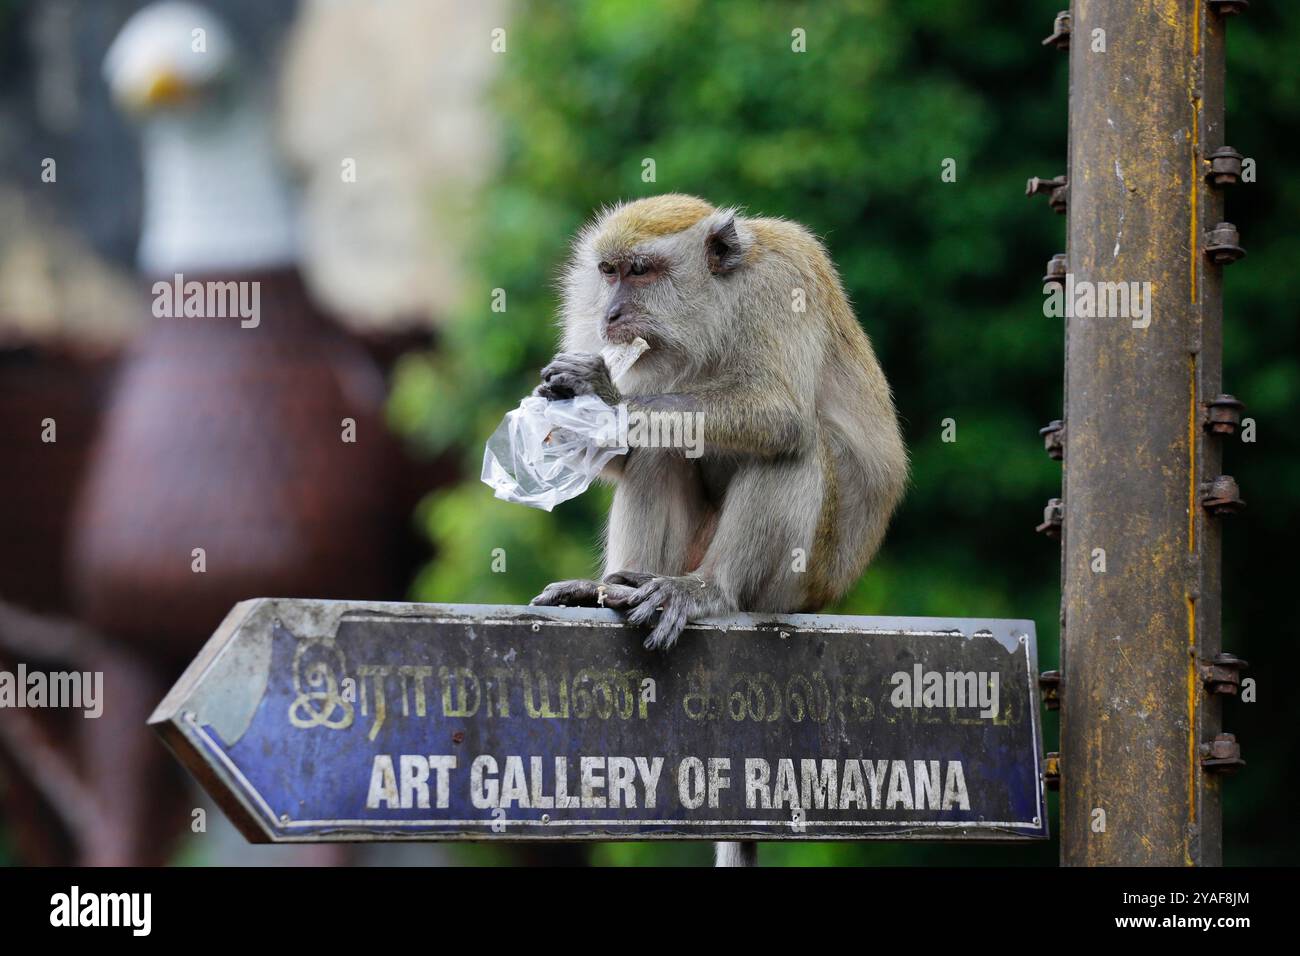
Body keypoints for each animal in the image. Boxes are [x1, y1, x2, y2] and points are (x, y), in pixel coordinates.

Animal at [528, 195, 908, 865]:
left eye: (641, 272)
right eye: (608, 272)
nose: (611, 314)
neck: (717, 307)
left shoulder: (781, 286)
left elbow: (778, 415)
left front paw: (603, 395)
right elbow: (629, 454)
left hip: (797, 582)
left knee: (795, 445)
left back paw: (708, 592)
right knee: (660, 453)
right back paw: (612, 588)